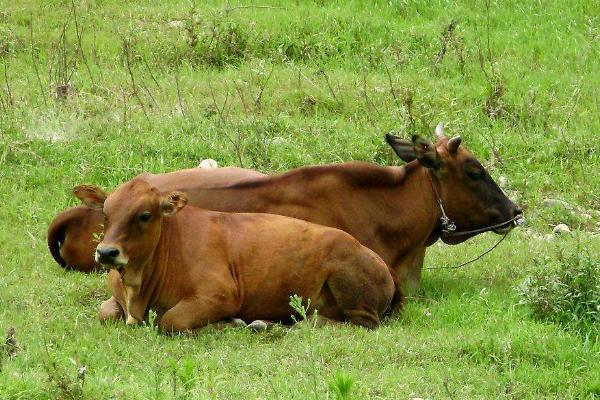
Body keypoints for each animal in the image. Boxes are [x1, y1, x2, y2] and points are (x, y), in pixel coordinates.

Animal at [72, 180, 396, 332]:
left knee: (354, 323)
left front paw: (228, 324)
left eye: (144, 215)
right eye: (105, 214)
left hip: (353, 294)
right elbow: (105, 313)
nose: (106, 252)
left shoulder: (220, 295)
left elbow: (171, 321)